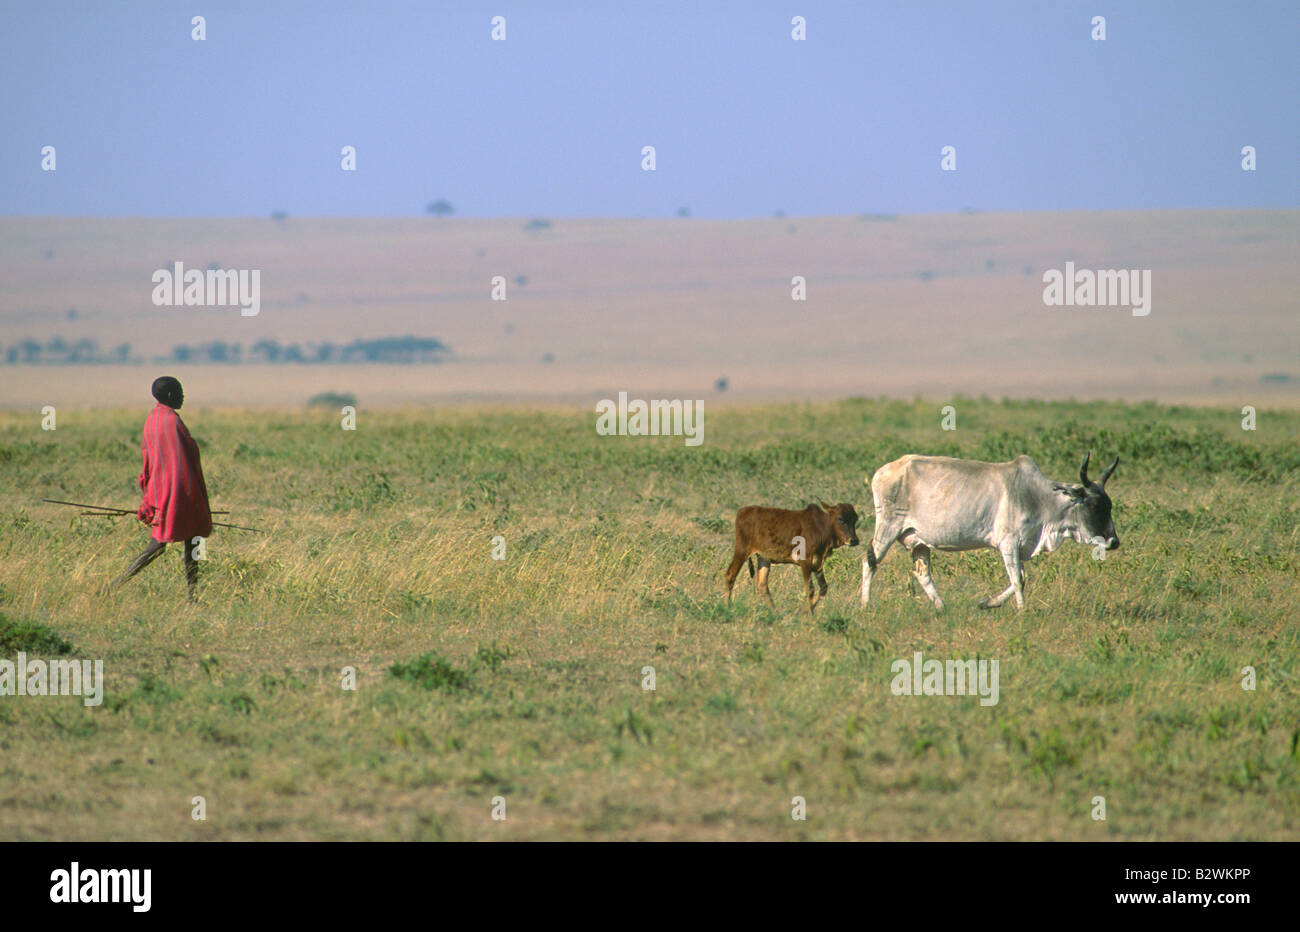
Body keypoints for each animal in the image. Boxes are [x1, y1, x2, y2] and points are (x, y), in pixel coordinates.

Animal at [724, 501, 861, 614]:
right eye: (840, 519)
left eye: (855, 519)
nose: (854, 540)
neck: (822, 528)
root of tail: (742, 511)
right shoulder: (805, 562)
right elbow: (810, 589)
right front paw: (809, 615)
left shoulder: (818, 564)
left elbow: (823, 588)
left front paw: (804, 612)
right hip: (741, 551)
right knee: (730, 575)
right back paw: (727, 607)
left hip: (763, 557)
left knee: (762, 584)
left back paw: (775, 612)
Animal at [860, 452, 1120, 610]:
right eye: (1094, 506)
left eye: (1110, 505)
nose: (1114, 542)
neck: (1037, 497)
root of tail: (883, 472)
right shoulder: (1008, 543)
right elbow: (1017, 580)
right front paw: (1022, 610)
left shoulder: (1017, 547)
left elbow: (1021, 578)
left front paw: (986, 603)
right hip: (888, 528)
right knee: (869, 561)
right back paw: (864, 605)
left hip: (920, 541)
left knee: (922, 573)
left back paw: (942, 608)